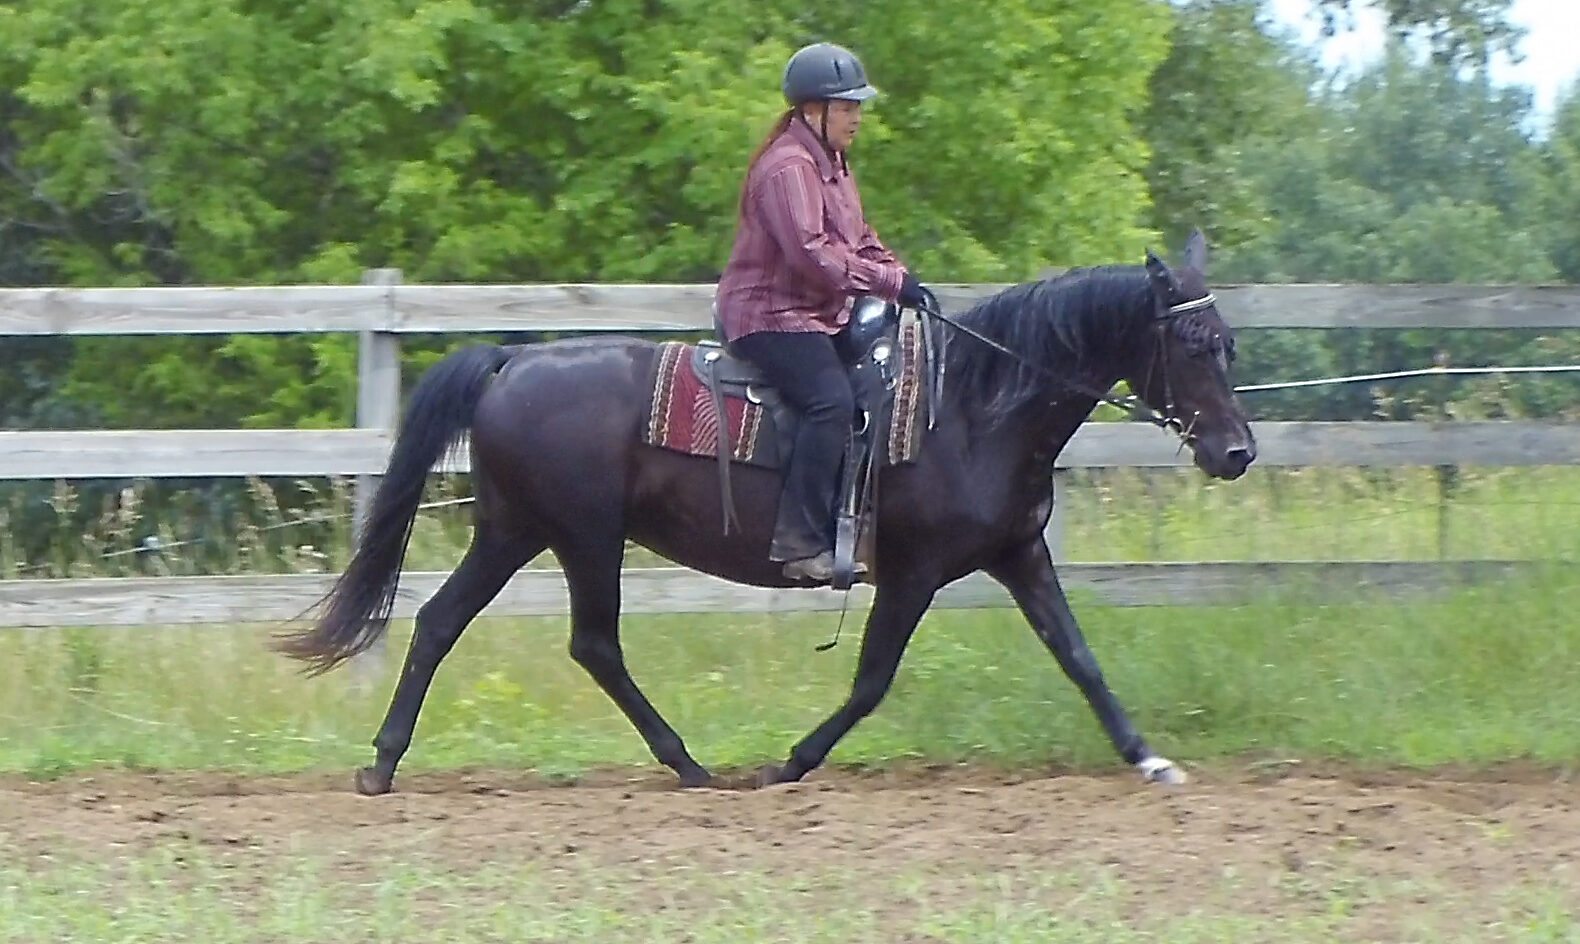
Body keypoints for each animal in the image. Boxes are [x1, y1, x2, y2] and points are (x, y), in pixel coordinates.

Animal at [274, 228, 1256, 794]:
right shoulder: (913, 573)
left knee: (443, 622)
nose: (1237, 452)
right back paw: (687, 764)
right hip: (581, 538)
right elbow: (872, 680)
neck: (971, 405)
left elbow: (1080, 659)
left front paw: (1149, 758)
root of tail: (512, 363)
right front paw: (793, 761)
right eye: (1190, 343)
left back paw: (385, 762)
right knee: (592, 645)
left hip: (515, 532)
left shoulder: (1019, 555)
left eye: (1230, 343)